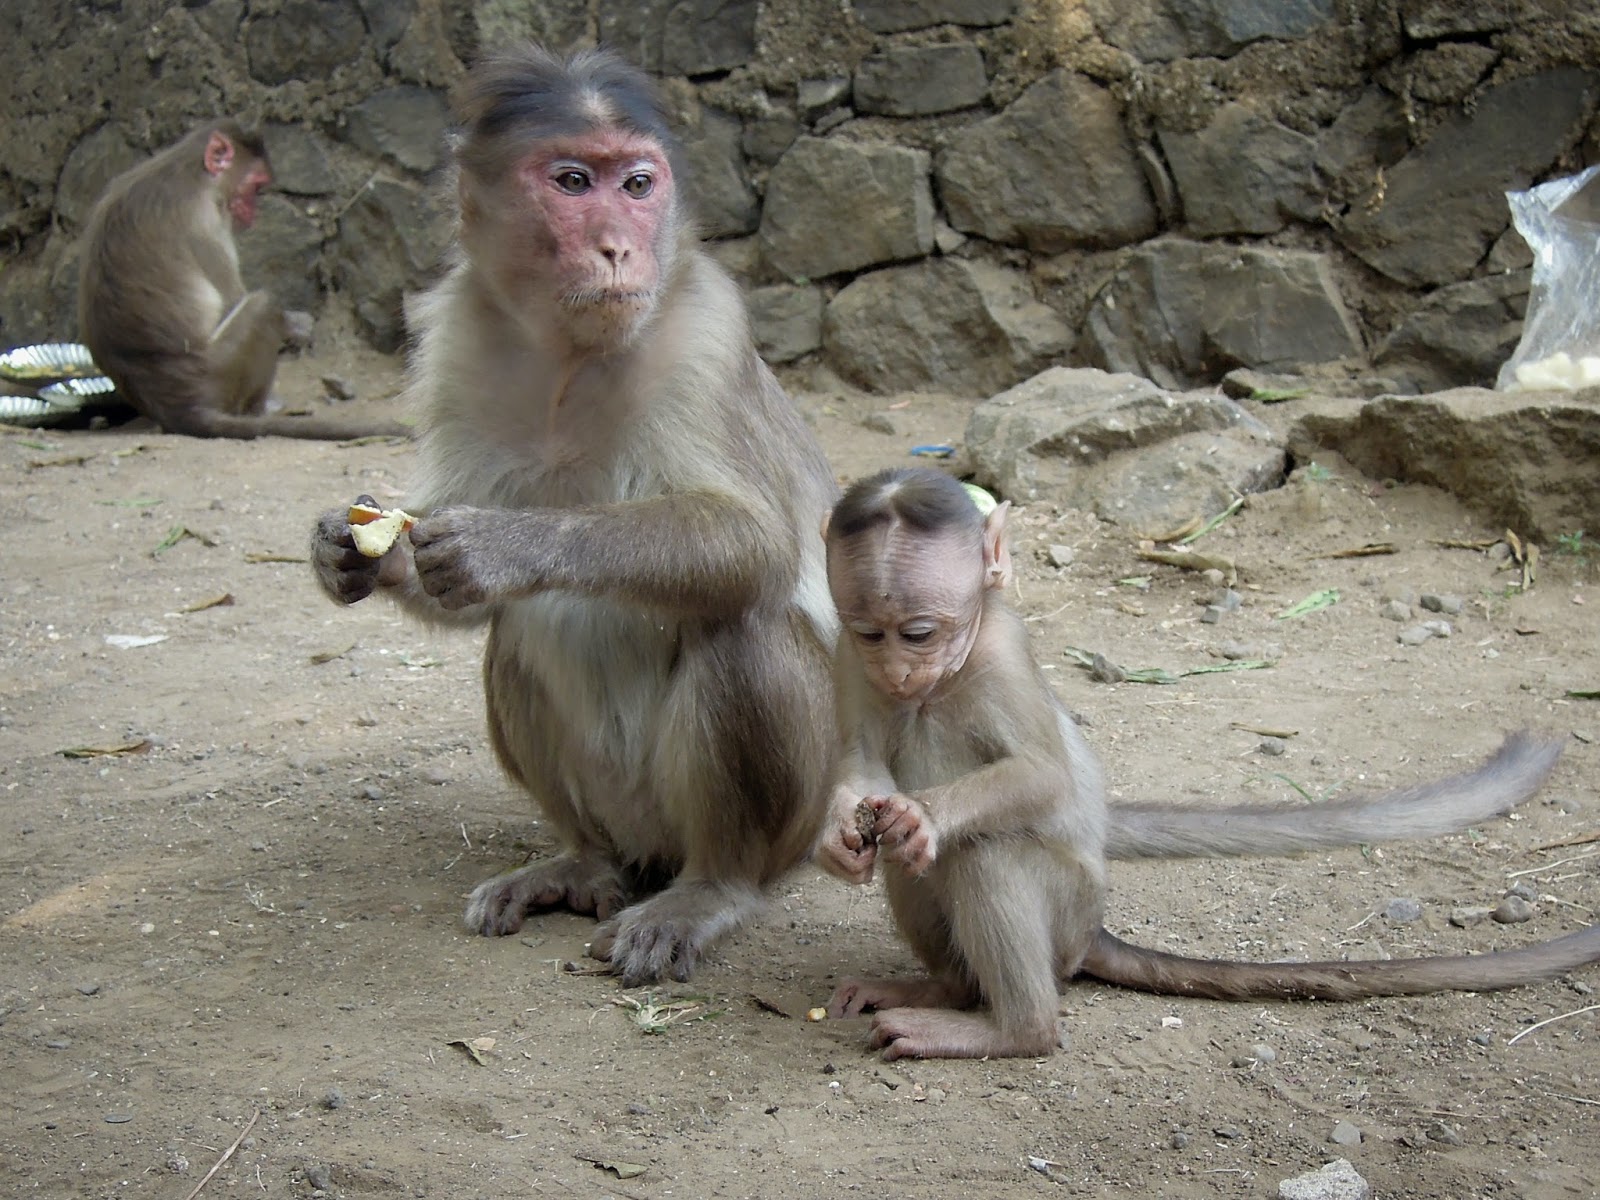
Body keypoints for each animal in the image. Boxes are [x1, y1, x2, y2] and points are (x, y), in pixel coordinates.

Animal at [78, 119, 408, 441]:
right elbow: (232, 300)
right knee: (263, 303)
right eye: (256, 186)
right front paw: (297, 325)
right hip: (218, 372)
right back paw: (258, 411)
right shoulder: (207, 221)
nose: (254, 211)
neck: (189, 170)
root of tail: (179, 406)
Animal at [310, 46, 1563, 989]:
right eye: (572, 181)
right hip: (643, 810)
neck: (571, 351)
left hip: (794, 805)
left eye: (638, 184)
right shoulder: (457, 329)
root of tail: (654, 847)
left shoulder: (700, 323)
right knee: (526, 643)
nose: (621, 246)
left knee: (739, 631)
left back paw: (709, 890)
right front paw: (352, 556)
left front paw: (509, 543)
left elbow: (754, 546)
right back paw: (577, 862)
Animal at [815, 467, 1594, 1060]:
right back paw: (943, 988)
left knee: (982, 849)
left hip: (1067, 912)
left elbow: (1042, 780)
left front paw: (925, 813)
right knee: (906, 860)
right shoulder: (848, 657)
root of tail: (1091, 935)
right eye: (874, 634)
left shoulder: (1001, 656)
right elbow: (860, 766)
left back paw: (1014, 1030)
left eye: (920, 632)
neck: (943, 679)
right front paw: (840, 838)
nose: (900, 671)